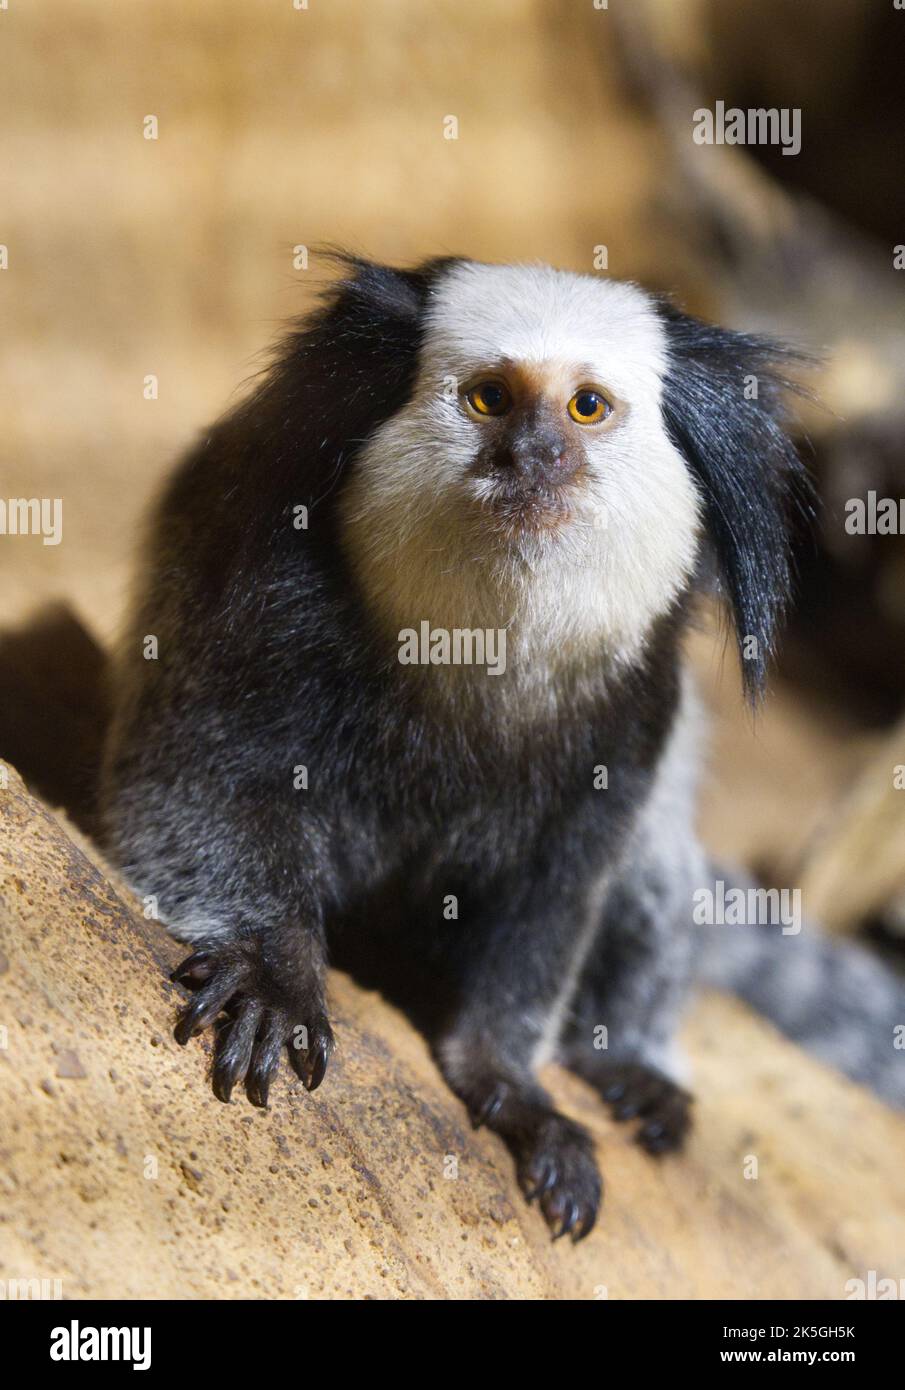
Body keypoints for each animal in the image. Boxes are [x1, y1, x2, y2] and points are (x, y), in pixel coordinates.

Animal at [98, 251, 817, 1242]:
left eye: (585, 407)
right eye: (489, 399)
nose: (535, 456)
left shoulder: (635, 713)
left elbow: (555, 903)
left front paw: (509, 1087)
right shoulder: (259, 594)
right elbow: (200, 789)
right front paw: (275, 972)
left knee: (656, 876)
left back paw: (634, 1064)